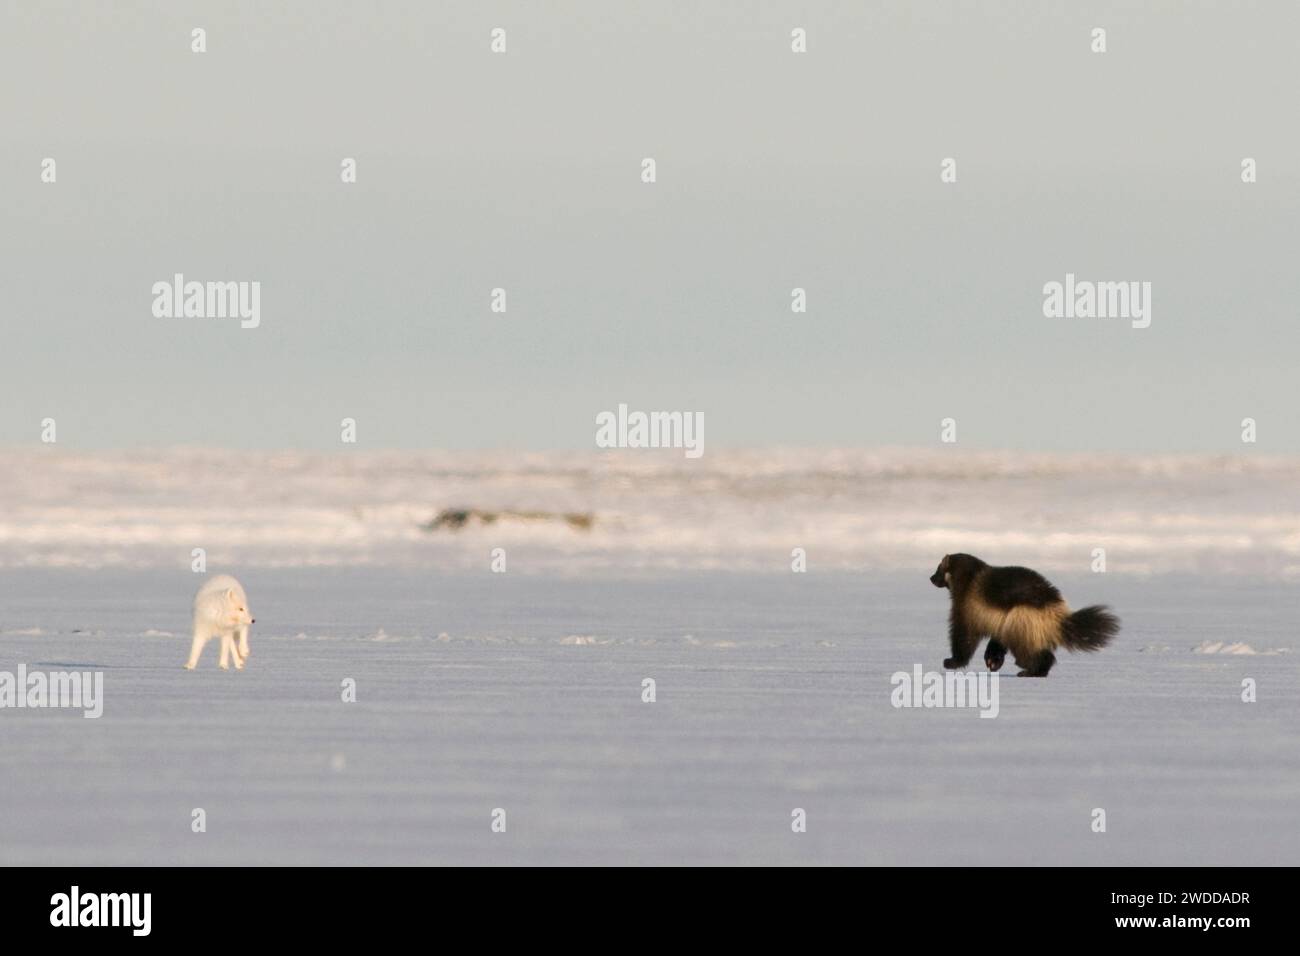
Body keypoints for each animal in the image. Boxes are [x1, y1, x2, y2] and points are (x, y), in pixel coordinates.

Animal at [930, 553, 1118, 677]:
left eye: (938, 568)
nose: (931, 578)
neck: (969, 578)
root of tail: (1056, 611)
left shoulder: (967, 608)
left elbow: (964, 636)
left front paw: (951, 662)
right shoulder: (1000, 619)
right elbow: (996, 640)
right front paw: (993, 660)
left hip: (1022, 621)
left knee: (1034, 653)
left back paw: (1030, 670)